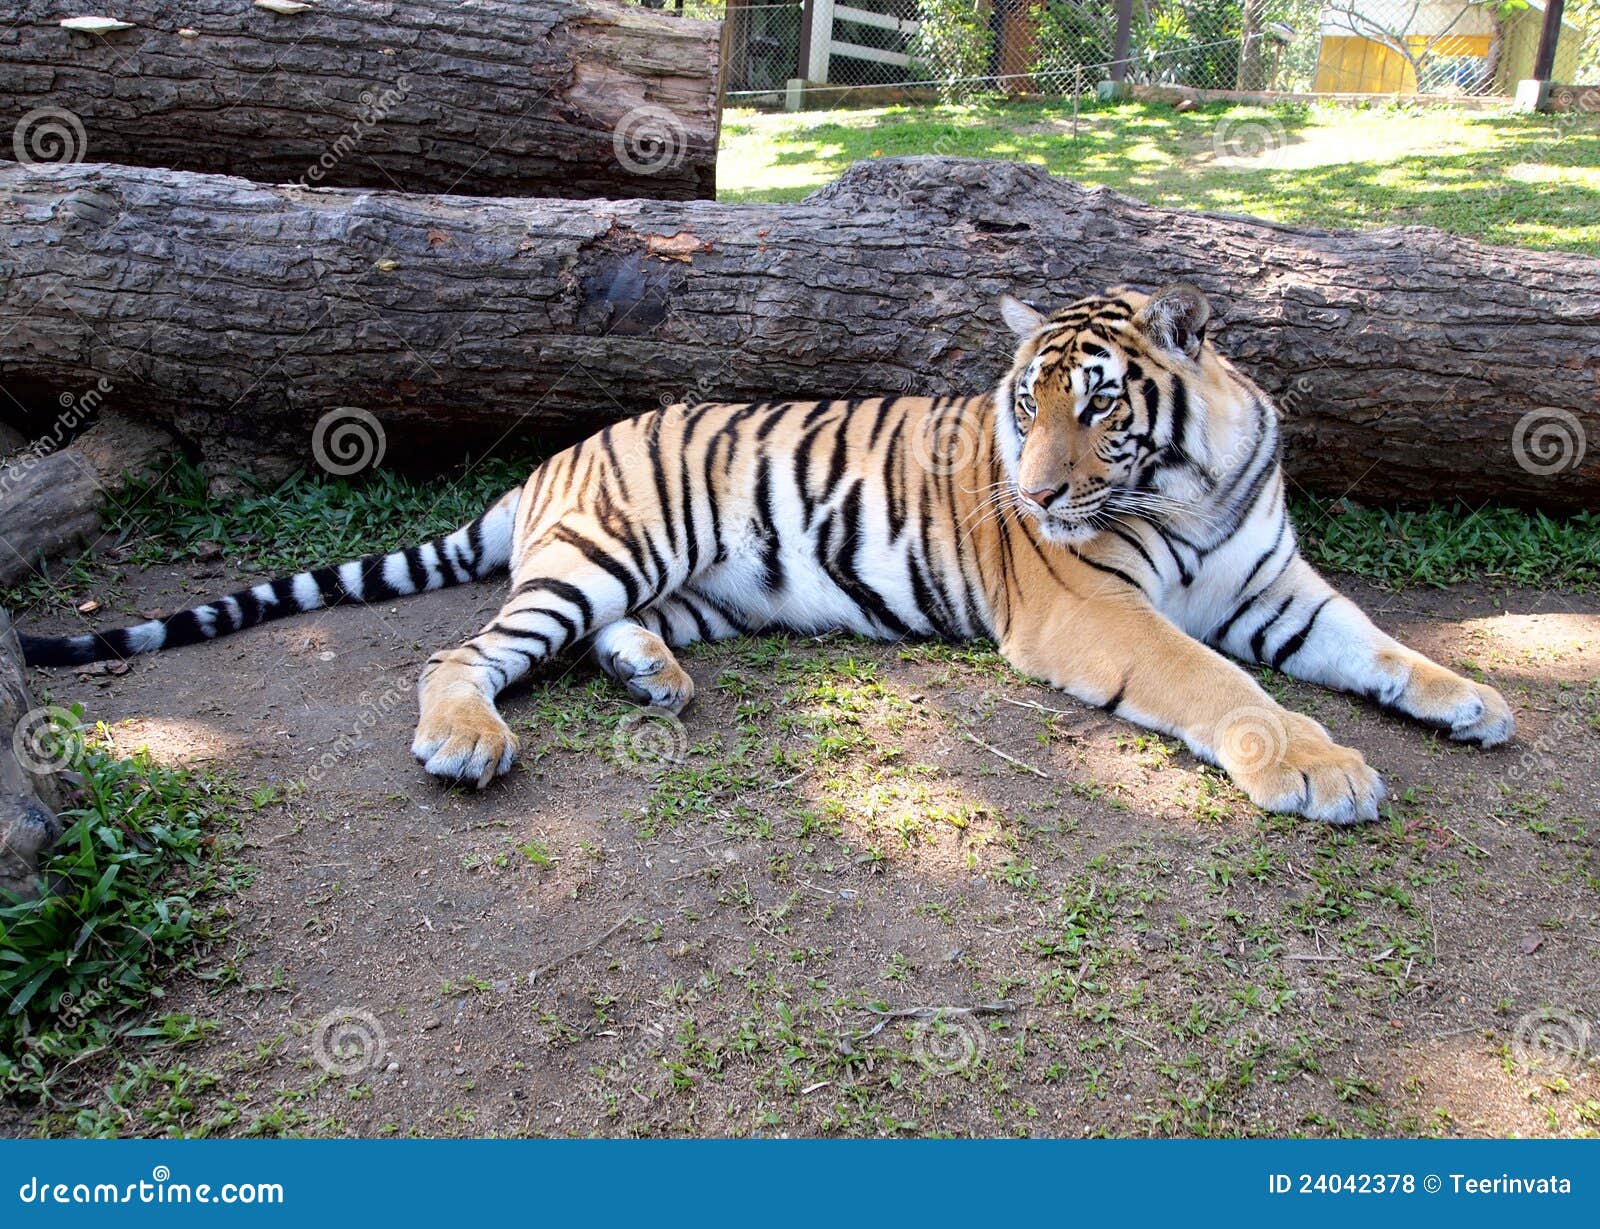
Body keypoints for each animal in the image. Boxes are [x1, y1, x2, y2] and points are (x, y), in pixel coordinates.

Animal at [20, 284, 1514, 823]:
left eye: (1091, 405)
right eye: (1020, 408)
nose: (1033, 494)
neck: (1189, 485)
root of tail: (546, 464)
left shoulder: (1274, 587)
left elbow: (1379, 643)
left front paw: (1473, 700)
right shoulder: (1096, 613)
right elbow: (1222, 686)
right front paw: (1321, 770)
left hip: (682, 590)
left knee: (593, 638)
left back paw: (656, 684)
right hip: (604, 550)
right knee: (467, 649)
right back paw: (466, 741)